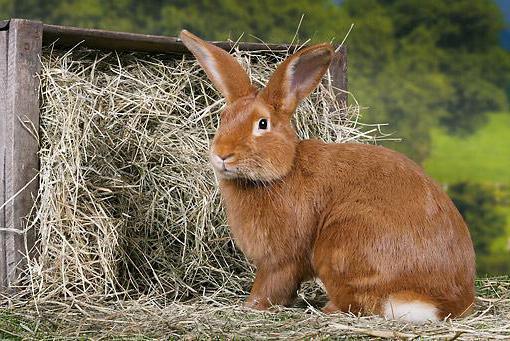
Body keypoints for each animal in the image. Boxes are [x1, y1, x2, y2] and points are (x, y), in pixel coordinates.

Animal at [179, 28, 474, 322]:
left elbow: (270, 285)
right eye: (223, 118)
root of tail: (444, 304)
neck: (284, 171)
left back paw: (328, 309)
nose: (222, 154)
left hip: (342, 245)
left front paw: (251, 306)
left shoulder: (281, 260)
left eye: (262, 124)